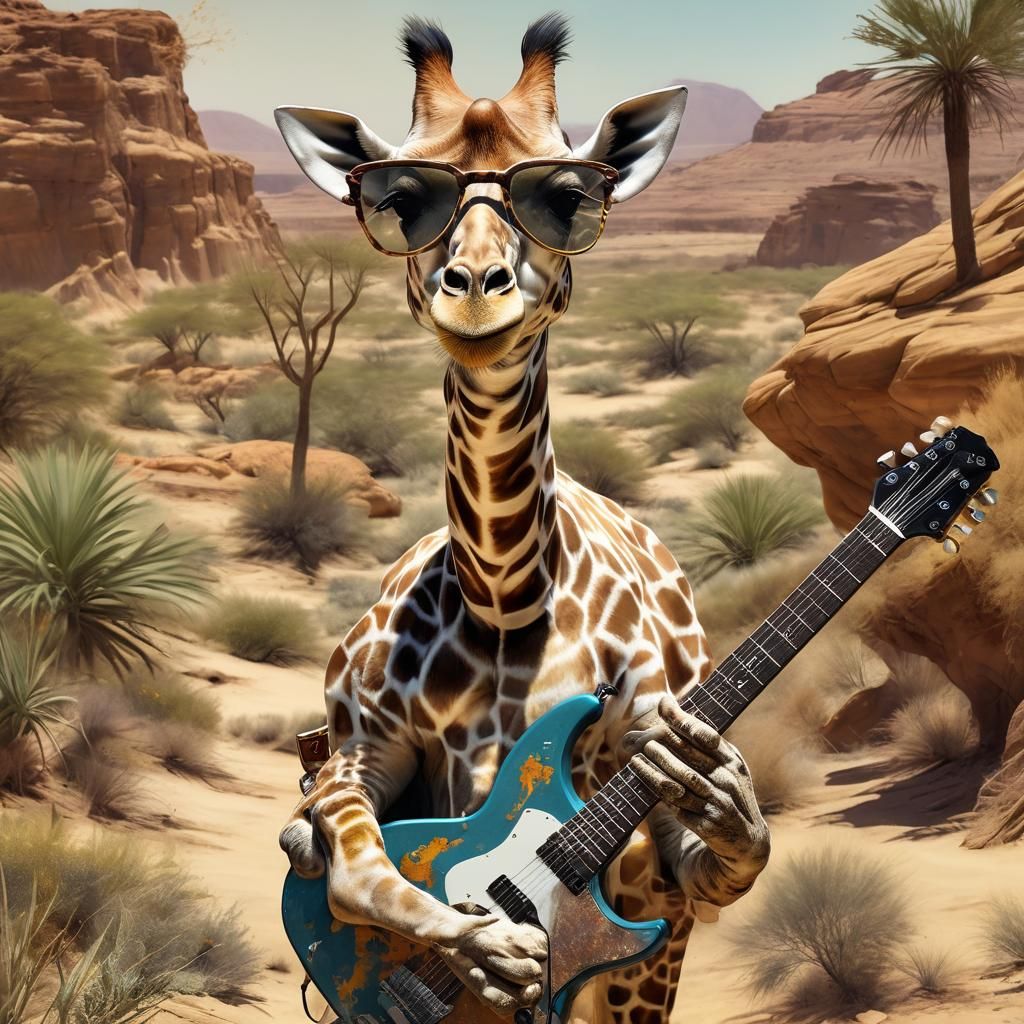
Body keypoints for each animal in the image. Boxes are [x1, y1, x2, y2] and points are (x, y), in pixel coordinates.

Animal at [276, 15, 770, 1023]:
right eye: (400, 199)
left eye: (567, 196)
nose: (476, 288)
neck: (506, 592)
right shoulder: (359, 746)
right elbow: (347, 858)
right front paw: (469, 940)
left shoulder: (650, 832)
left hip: (654, 951)